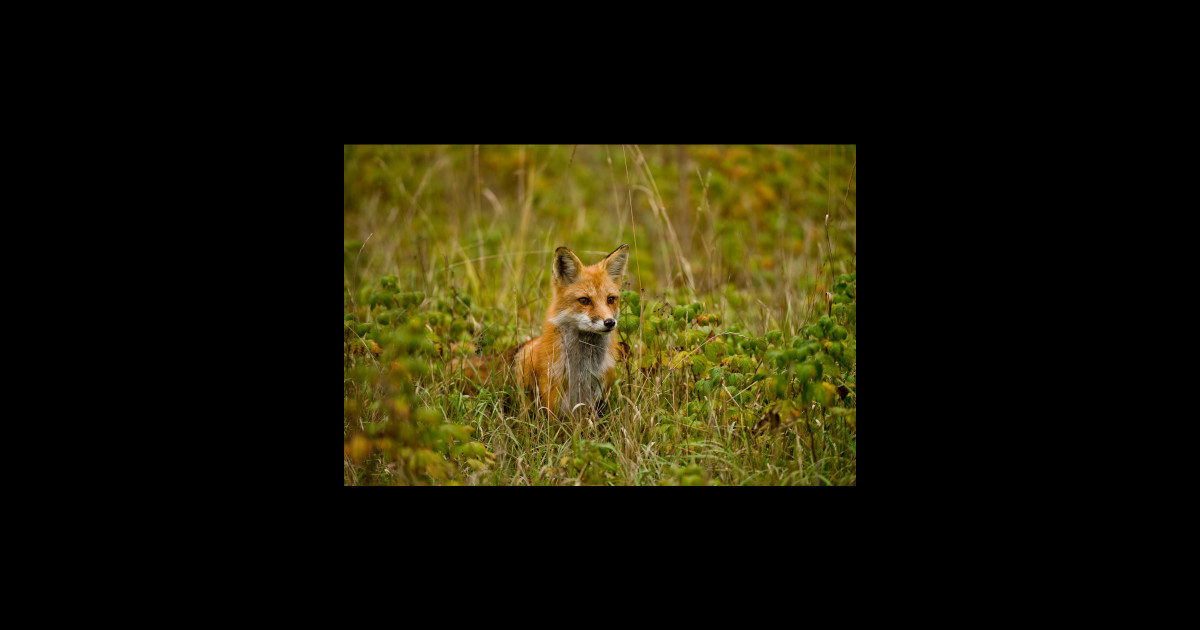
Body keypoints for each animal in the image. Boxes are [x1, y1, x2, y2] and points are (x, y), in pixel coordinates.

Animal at [514, 244, 629, 419]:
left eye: (610, 299)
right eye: (584, 300)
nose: (609, 322)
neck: (583, 370)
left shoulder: (598, 398)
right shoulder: (553, 404)